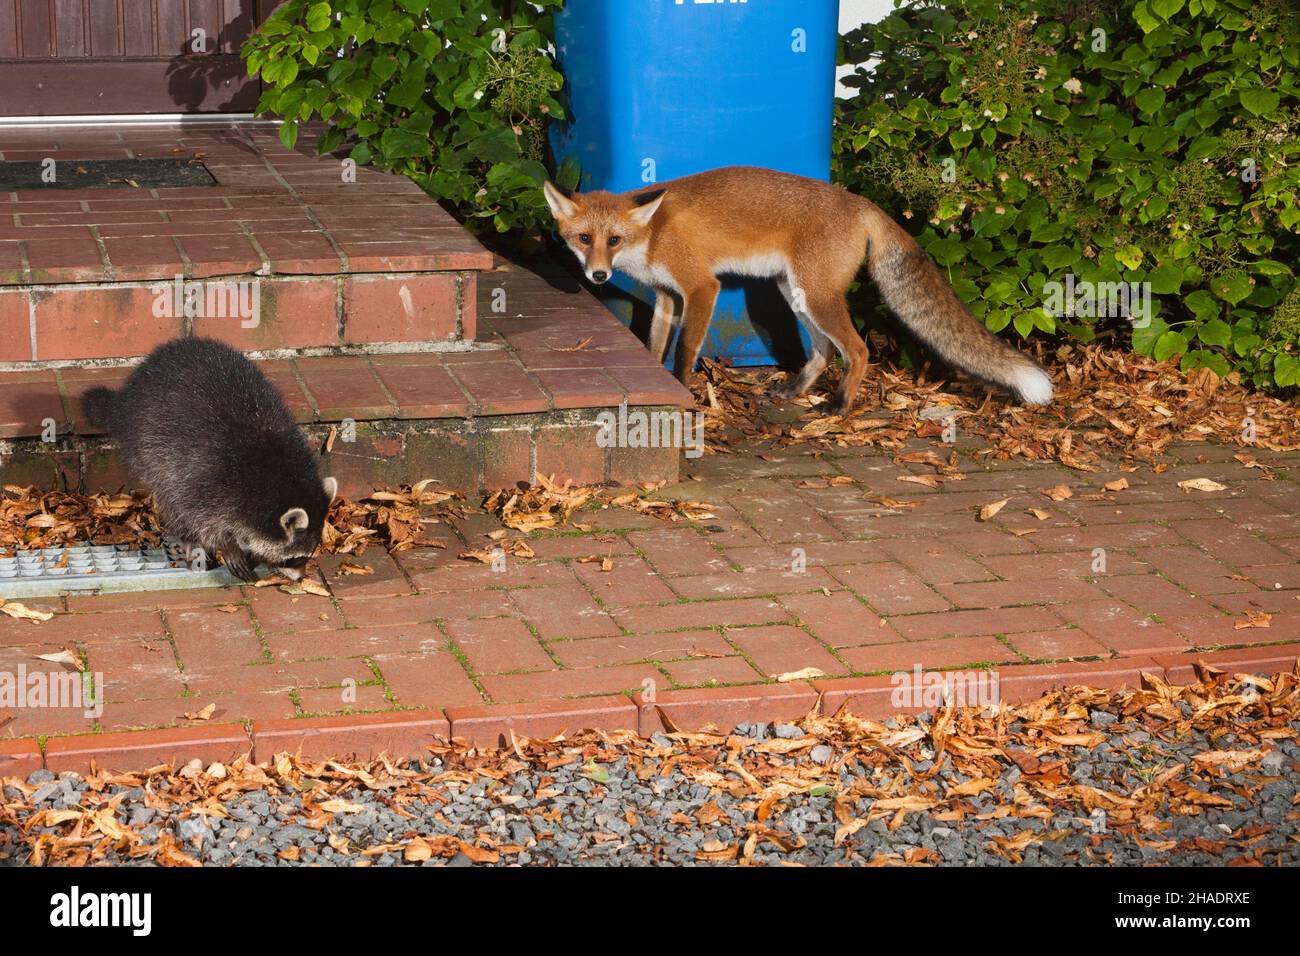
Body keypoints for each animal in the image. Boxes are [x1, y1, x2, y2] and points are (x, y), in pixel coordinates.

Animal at [83, 338, 337, 582]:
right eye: (295, 558)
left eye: (309, 554)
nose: (300, 577)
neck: (277, 474)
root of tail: (129, 395)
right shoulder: (205, 478)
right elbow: (201, 517)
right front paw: (227, 545)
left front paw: (252, 553)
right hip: (148, 444)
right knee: (169, 496)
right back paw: (190, 539)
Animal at [543, 166, 1053, 414]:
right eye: (584, 239)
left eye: (613, 240)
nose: (599, 277)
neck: (651, 235)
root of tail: (861, 201)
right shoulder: (668, 296)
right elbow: (653, 349)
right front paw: (659, 383)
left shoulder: (701, 287)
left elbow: (685, 350)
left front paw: (684, 393)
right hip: (796, 294)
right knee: (824, 352)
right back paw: (796, 390)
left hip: (817, 296)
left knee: (859, 350)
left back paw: (841, 405)